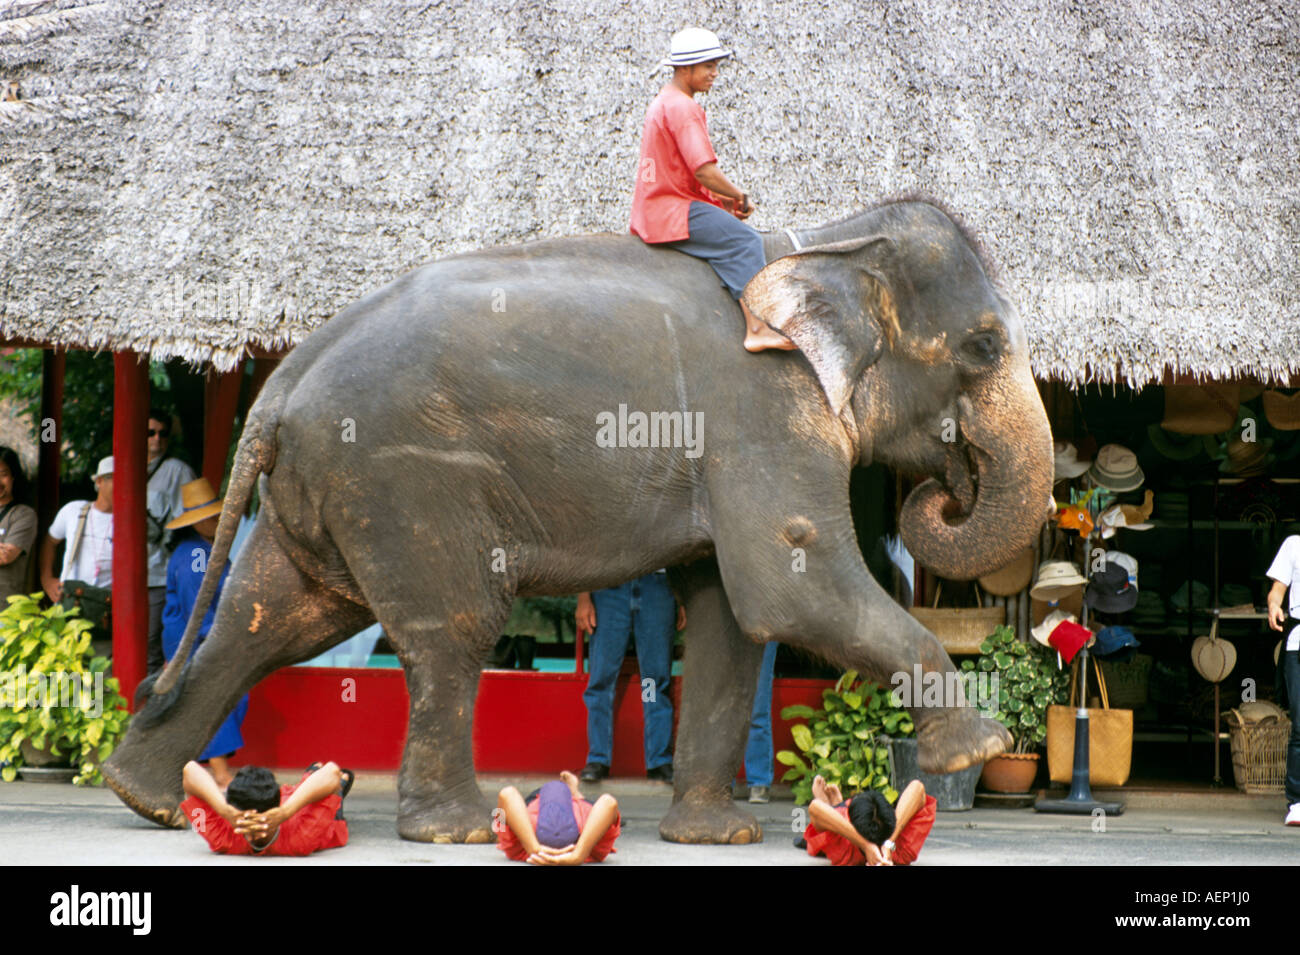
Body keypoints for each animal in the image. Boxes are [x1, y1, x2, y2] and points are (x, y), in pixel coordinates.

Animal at [102, 199, 1053, 845]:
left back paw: (143, 796)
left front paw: (717, 837)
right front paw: (976, 747)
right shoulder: (761, 414)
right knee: (451, 628)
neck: (826, 240)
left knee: (271, 617)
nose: (943, 489)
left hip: (324, 492)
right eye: (982, 347)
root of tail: (278, 386)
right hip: (403, 479)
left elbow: (731, 616)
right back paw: (458, 828)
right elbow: (793, 588)